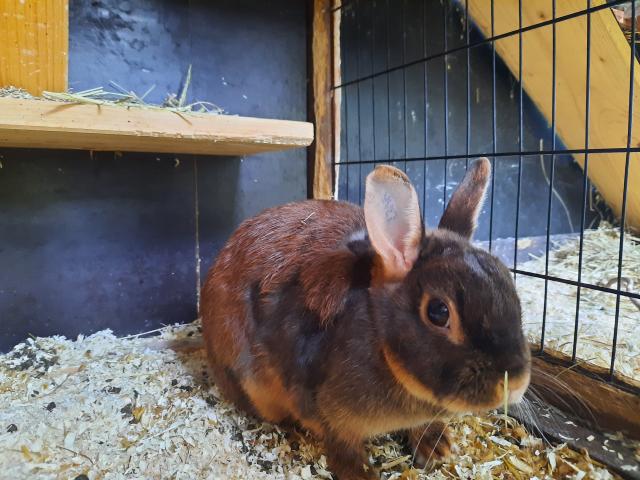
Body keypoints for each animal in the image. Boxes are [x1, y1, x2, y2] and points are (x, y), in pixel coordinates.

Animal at [201, 158, 531, 480]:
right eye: (439, 312)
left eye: (508, 284)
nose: (515, 383)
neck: (379, 343)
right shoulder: (322, 409)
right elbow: (343, 447)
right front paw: (362, 474)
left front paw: (436, 447)